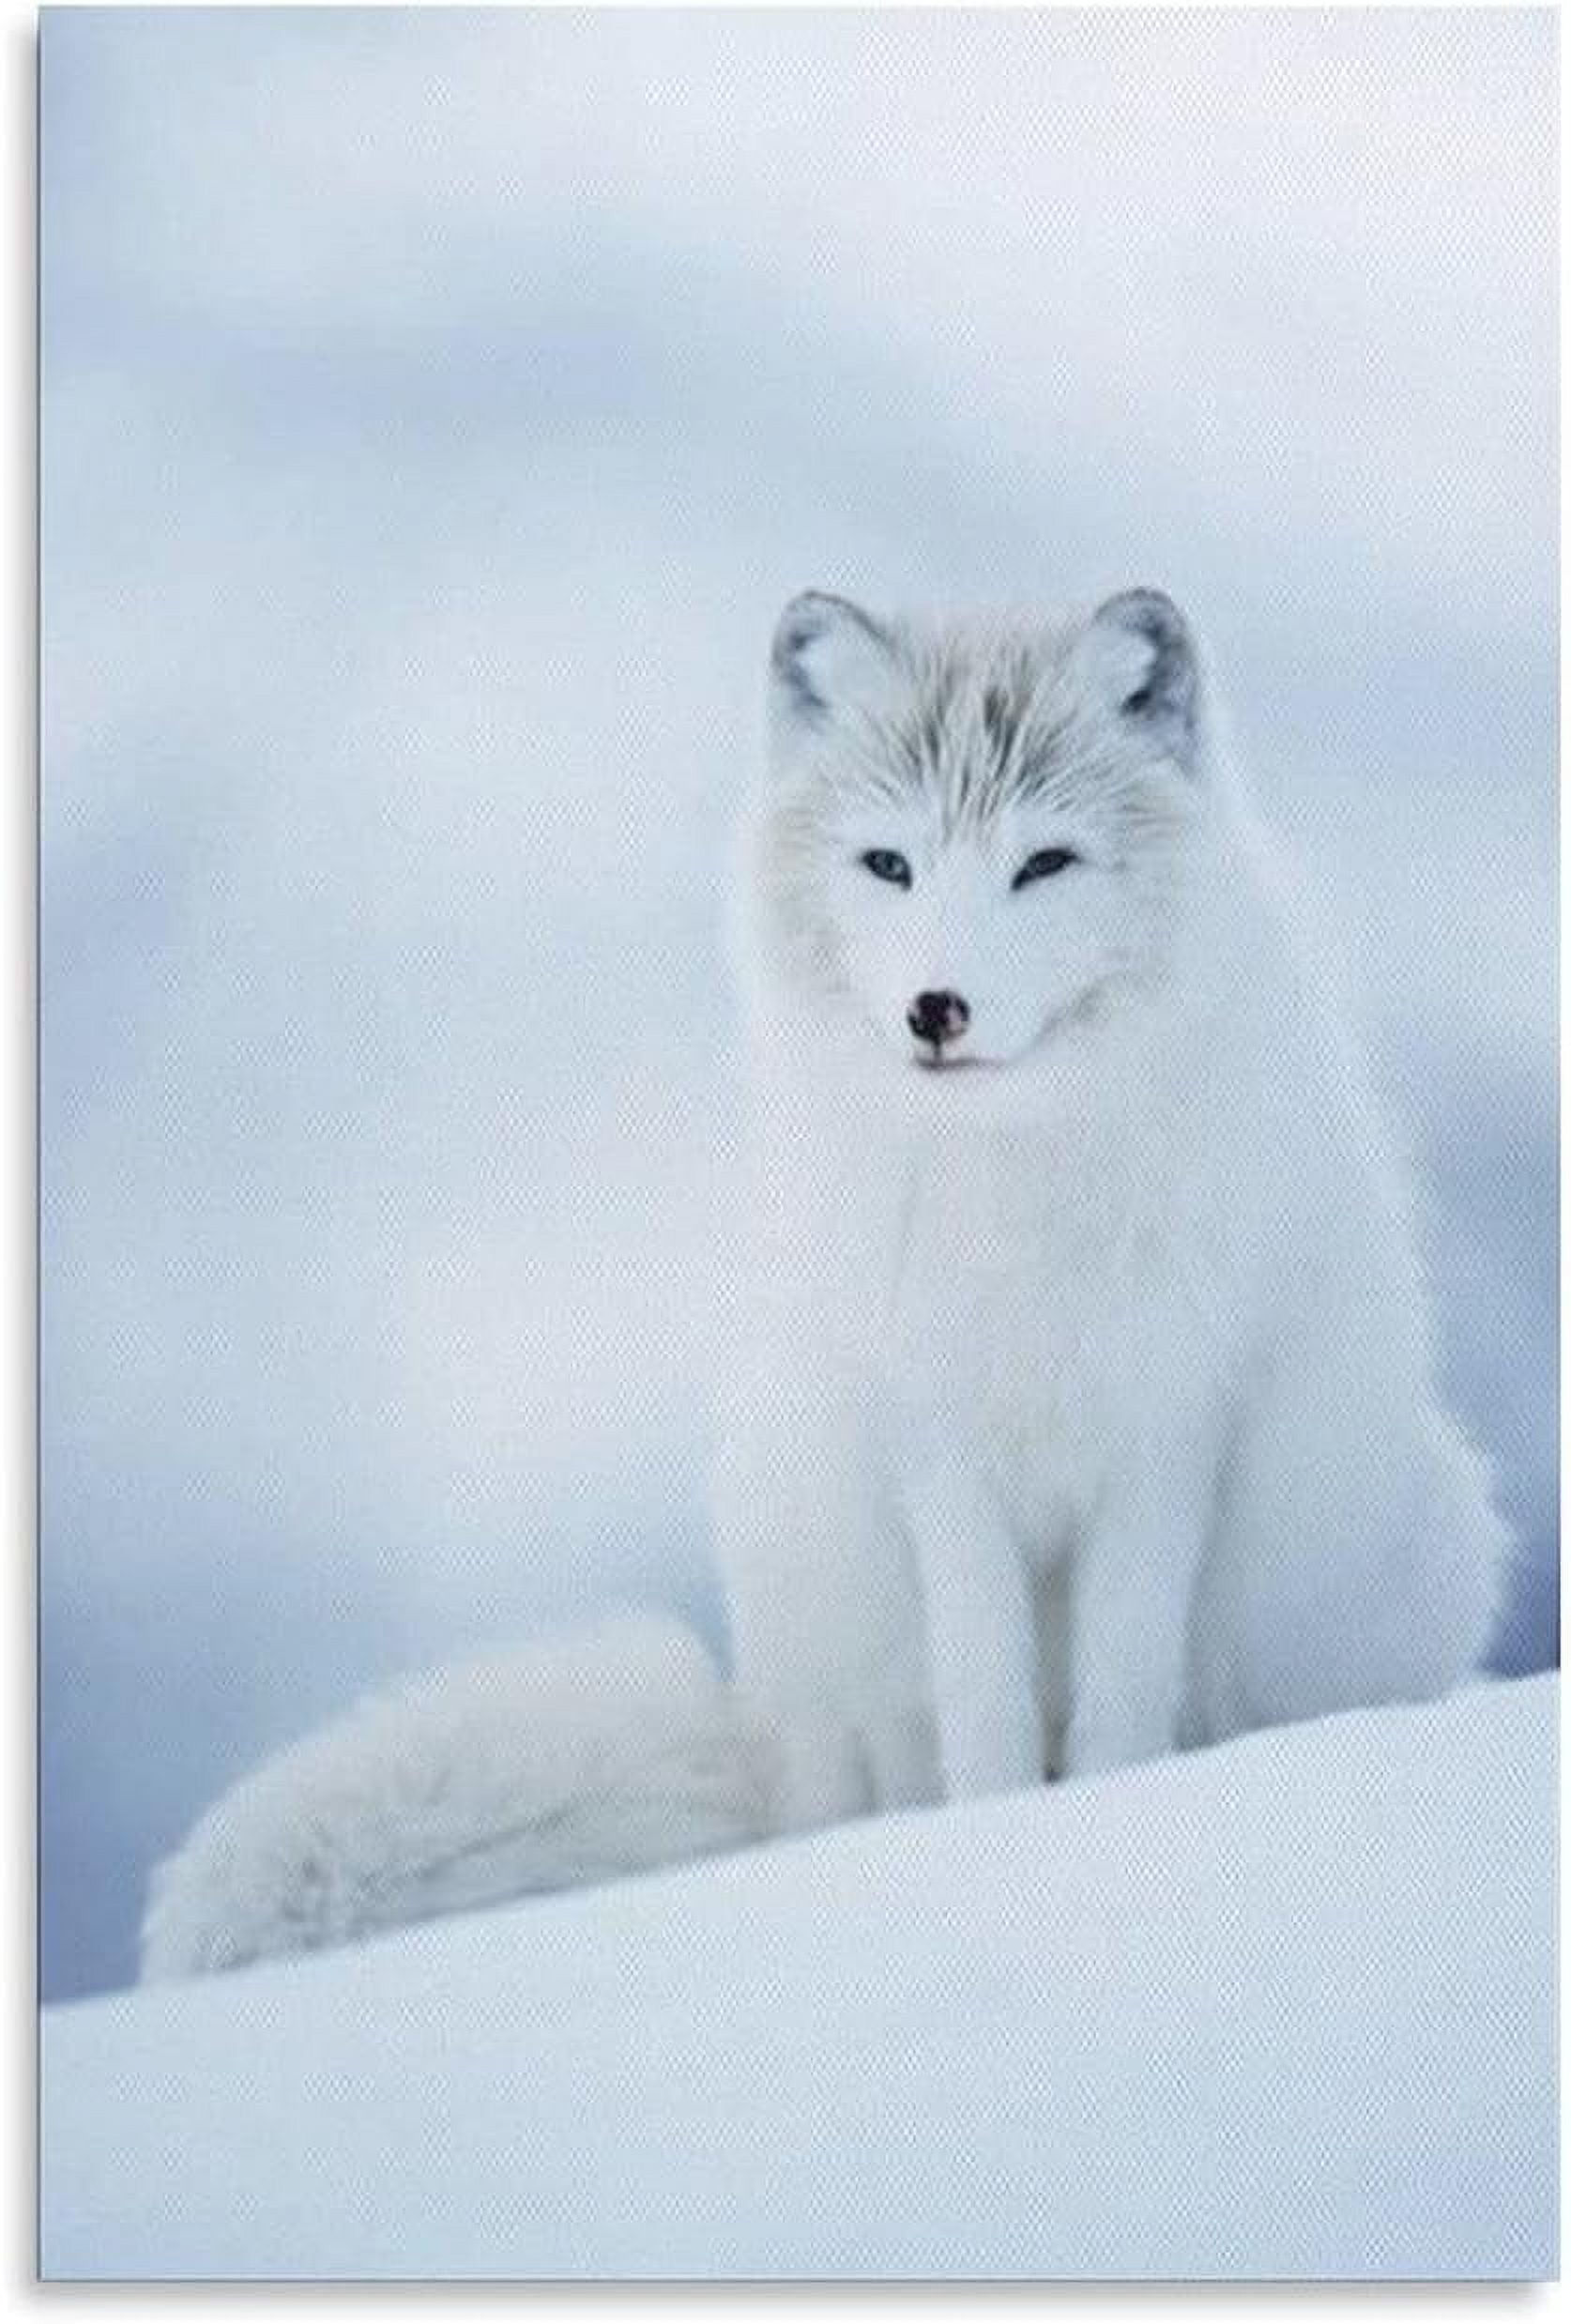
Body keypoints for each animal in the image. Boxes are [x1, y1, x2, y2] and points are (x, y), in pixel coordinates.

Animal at [140, 587, 1507, 1980]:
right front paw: (1000, 1834)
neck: (1007, 1195)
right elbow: (982, 1692)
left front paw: (1105, 1815)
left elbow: (1125, 1686)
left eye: (1044, 864)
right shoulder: (936, 1445)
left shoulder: (1165, 1428)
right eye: (888, 865)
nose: (935, 1007)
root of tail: (752, 1728)